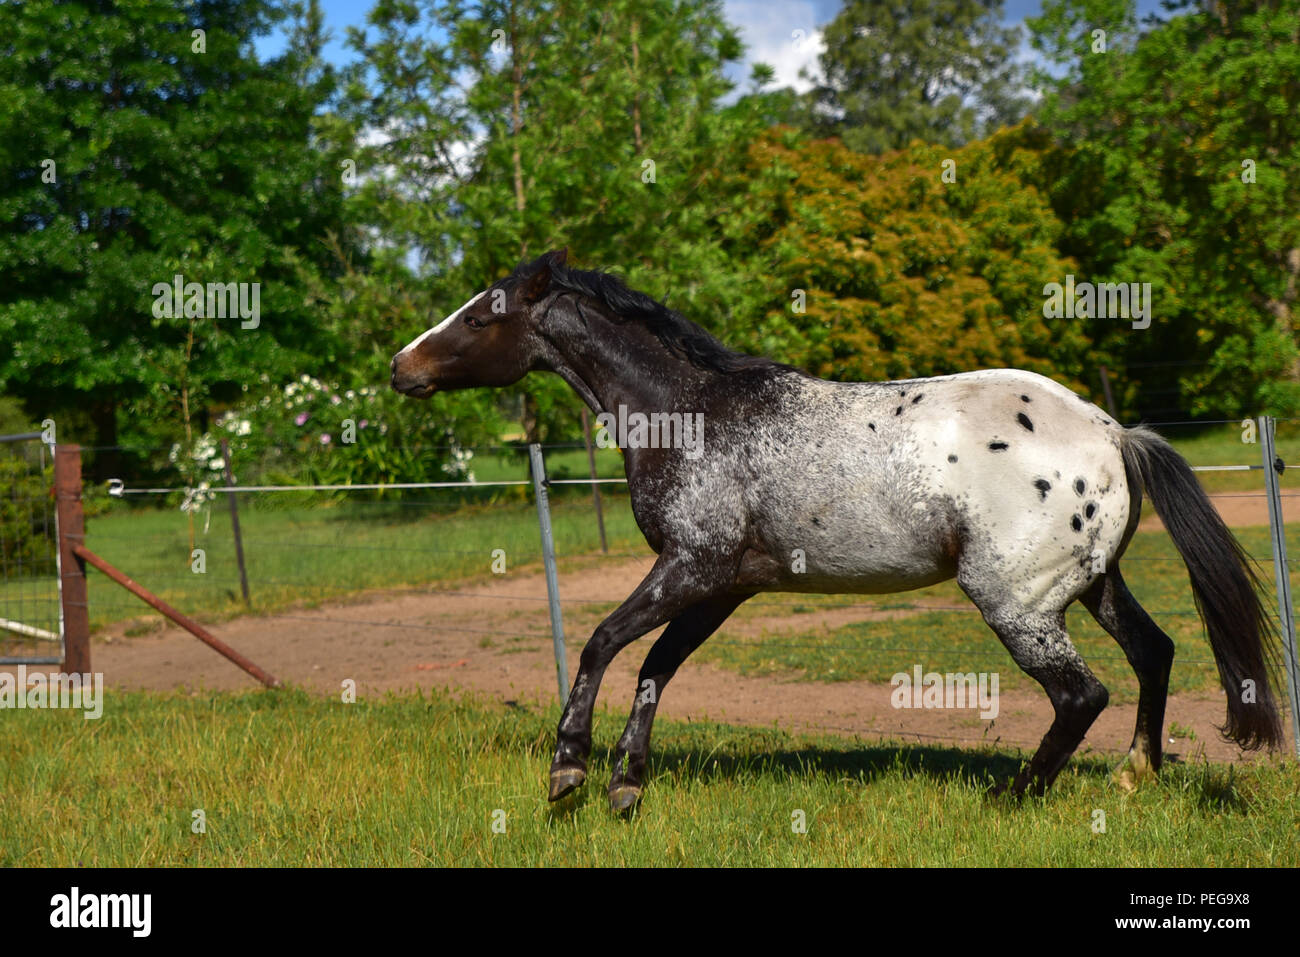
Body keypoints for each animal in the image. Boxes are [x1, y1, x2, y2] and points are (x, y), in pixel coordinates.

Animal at [391, 248, 1284, 811]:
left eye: (480, 318)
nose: (402, 367)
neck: (691, 417)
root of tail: (1109, 430)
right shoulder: (722, 585)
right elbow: (655, 666)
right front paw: (626, 783)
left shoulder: (690, 567)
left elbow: (604, 643)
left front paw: (569, 771)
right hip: (1092, 583)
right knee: (1153, 652)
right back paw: (1134, 777)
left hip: (1017, 601)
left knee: (1082, 693)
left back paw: (1015, 795)